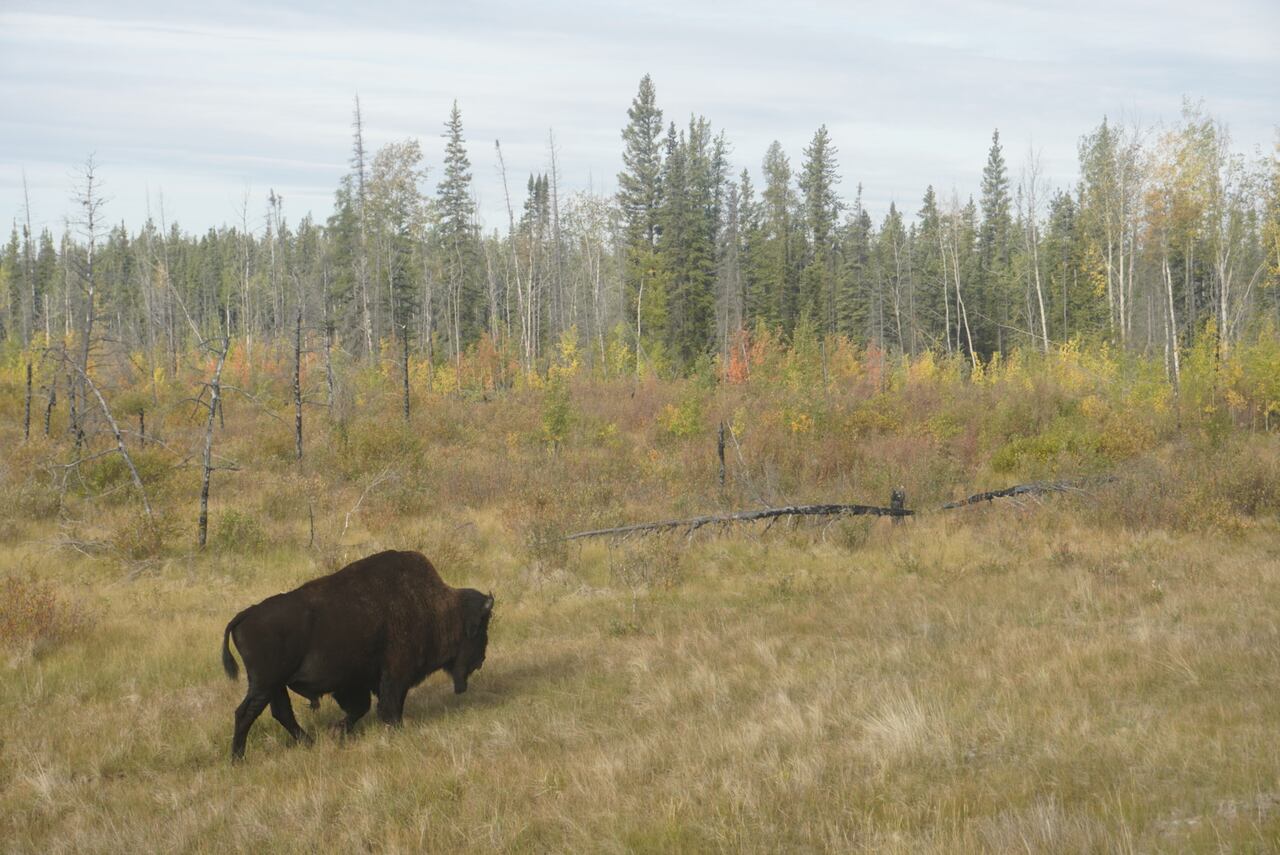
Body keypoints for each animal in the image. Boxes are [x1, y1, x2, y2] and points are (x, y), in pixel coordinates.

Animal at [220, 549, 494, 760]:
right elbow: (389, 707)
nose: (481, 660)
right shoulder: (394, 675)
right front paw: (395, 730)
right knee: (246, 713)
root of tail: (245, 615)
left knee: (281, 712)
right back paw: (238, 758)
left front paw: (337, 732)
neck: (438, 608)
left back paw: (308, 743)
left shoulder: (355, 683)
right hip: (265, 684)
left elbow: (362, 708)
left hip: (274, 686)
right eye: (481, 627)